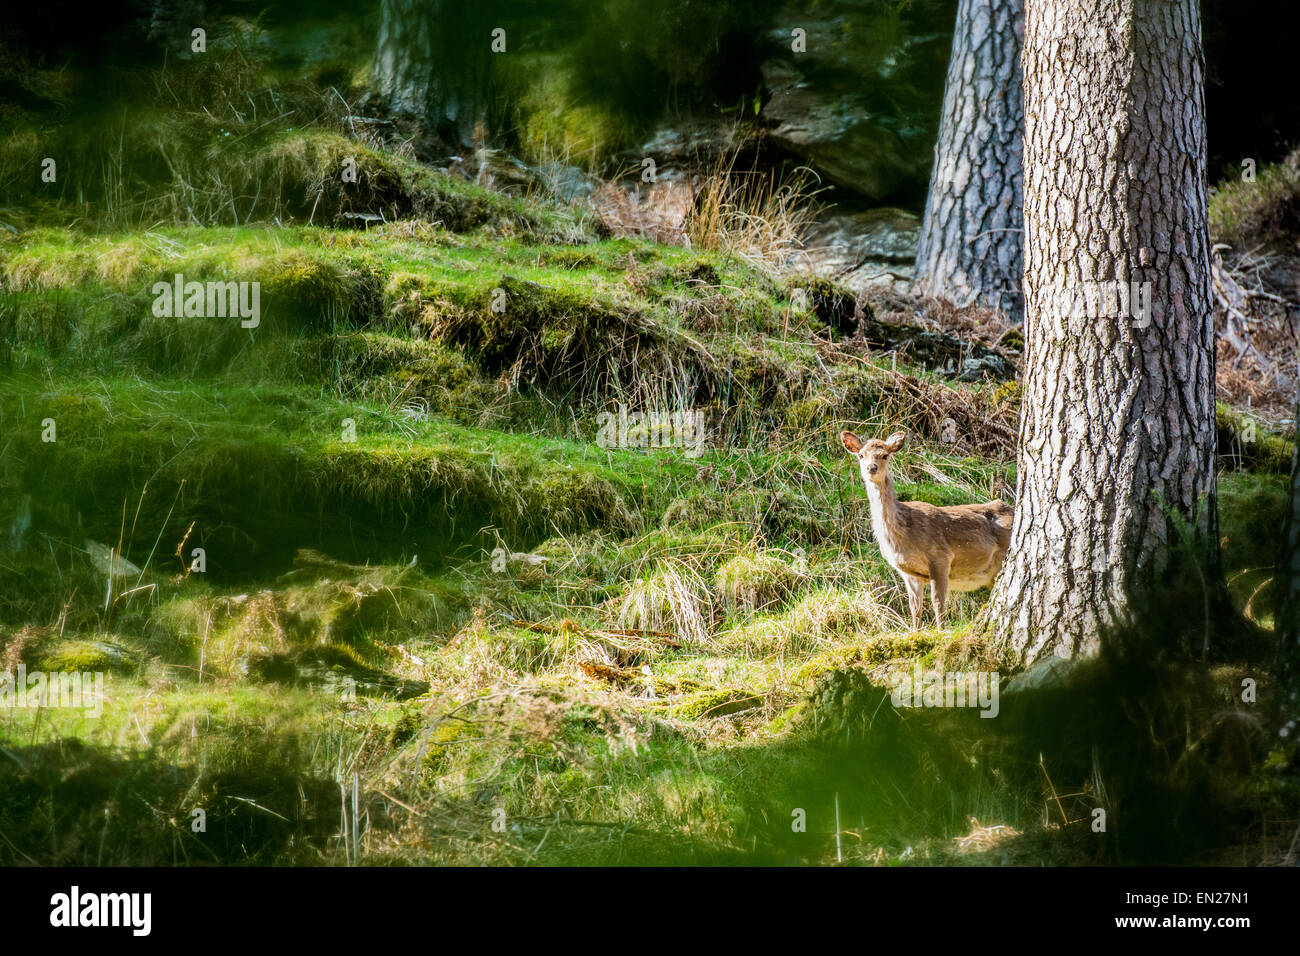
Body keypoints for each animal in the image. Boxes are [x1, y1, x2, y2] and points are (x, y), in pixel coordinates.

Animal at [841, 430, 1014, 631]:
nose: (872, 467)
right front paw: (914, 631)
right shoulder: (908, 573)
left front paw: (941, 630)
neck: (902, 533)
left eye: (885, 455)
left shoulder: (941, 556)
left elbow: (937, 602)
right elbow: (914, 606)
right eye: (861, 455)